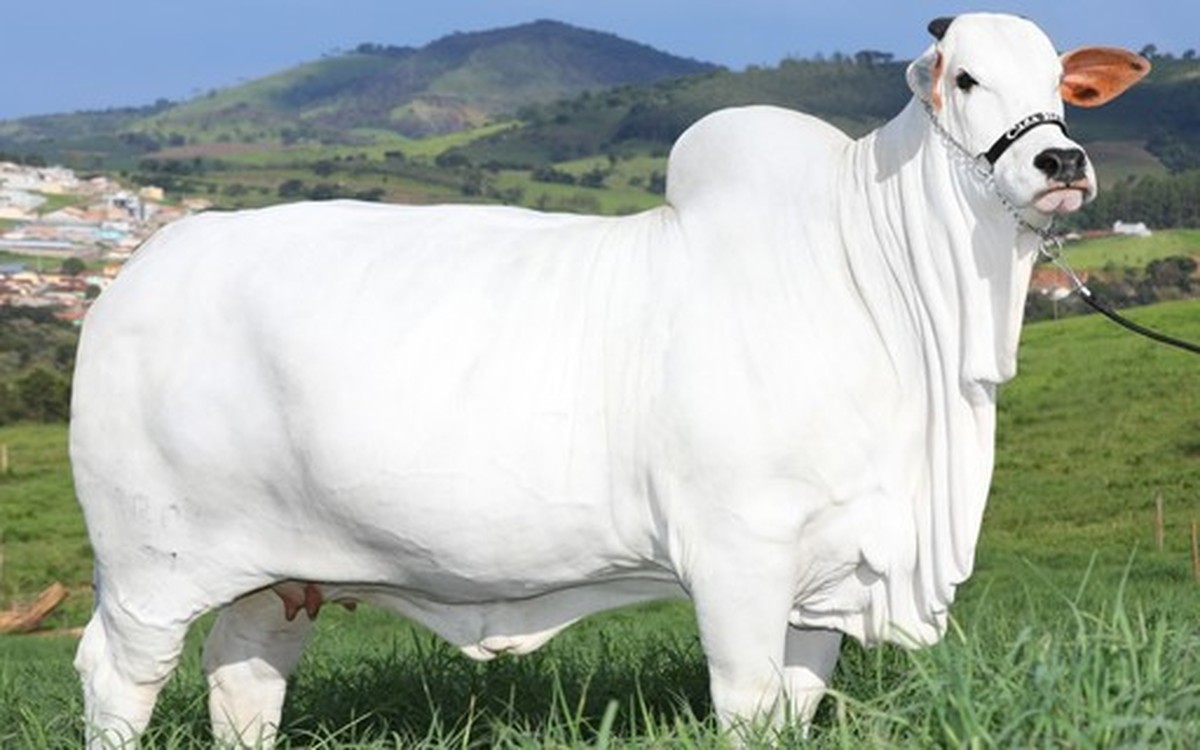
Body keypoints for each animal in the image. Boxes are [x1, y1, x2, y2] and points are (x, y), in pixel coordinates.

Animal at [70, 13, 1148, 747]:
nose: (1061, 160)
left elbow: (793, 708)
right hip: (149, 567)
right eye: (965, 77)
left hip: (279, 574)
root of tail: (140, 273)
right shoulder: (738, 558)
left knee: (243, 677)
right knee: (117, 678)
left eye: (1060, 80)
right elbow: (747, 706)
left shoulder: (825, 577)